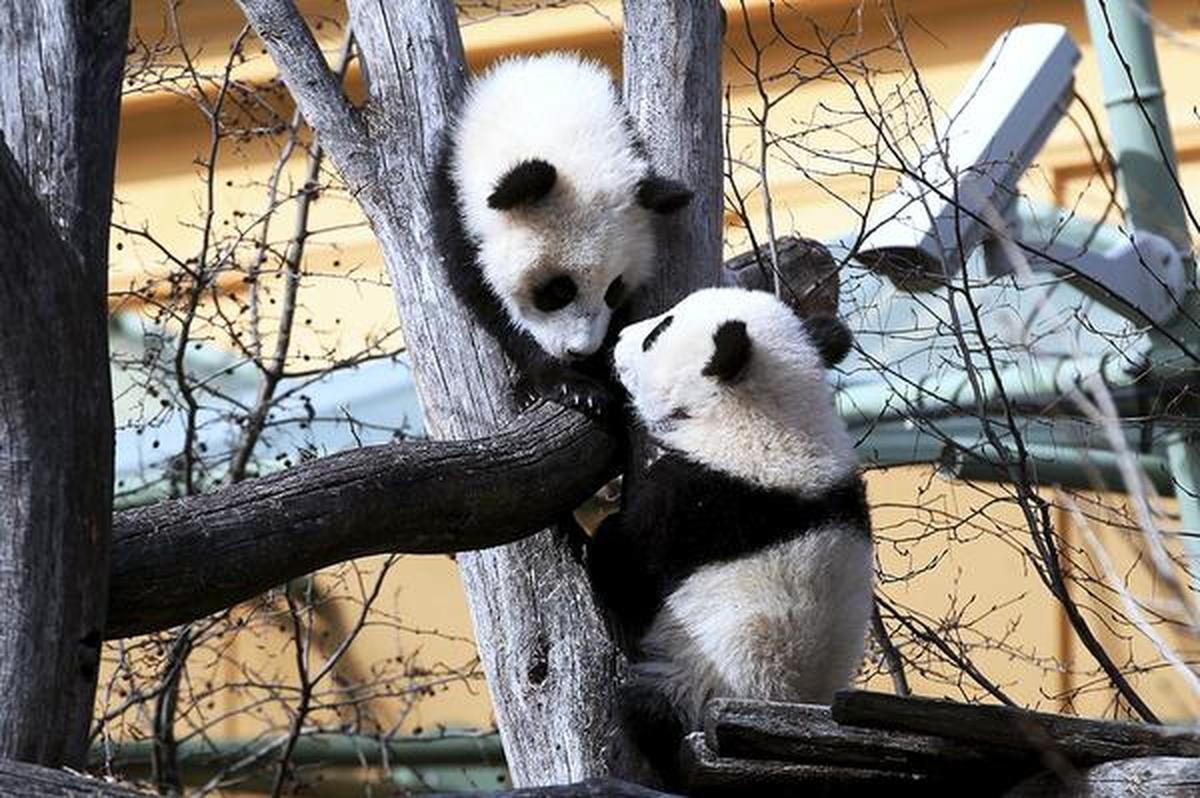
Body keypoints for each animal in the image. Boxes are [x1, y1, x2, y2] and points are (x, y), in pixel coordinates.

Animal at [431, 52, 692, 416]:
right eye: (558, 290)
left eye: (614, 289)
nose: (580, 351)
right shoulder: (455, 207)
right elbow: (492, 304)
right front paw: (567, 386)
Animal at [585, 286, 874, 781]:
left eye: (658, 332)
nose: (618, 340)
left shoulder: (692, 502)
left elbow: (625, 579)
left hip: (698, 680)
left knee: (646, 716)